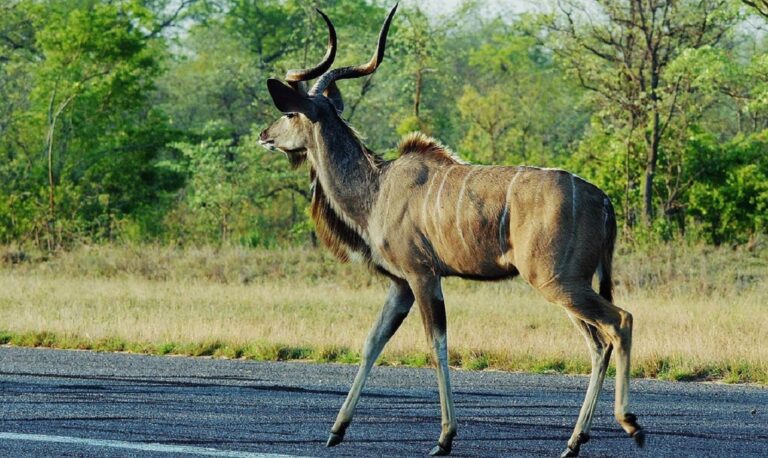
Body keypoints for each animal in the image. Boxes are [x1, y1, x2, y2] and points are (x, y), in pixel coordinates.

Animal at [259, 5, 645, 457]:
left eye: (289, 113)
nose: (264, 135)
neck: (377, 188)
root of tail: (603, 201)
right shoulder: (401, 284)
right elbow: (373, 342)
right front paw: (336, 430)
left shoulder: (422, 275)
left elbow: (436, 344)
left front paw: (444, 438)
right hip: (568, 285)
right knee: (597, 343)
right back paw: (573, 441)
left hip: (557, 281)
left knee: (620, 322)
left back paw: (630, 423)